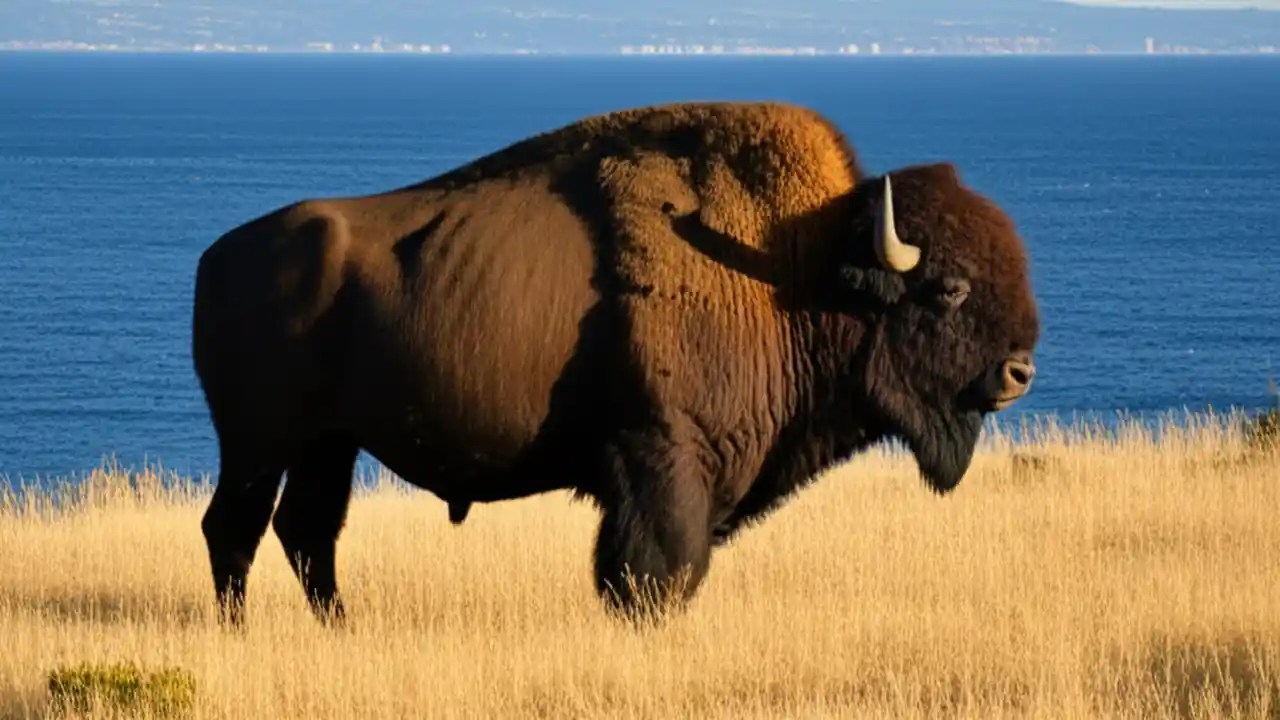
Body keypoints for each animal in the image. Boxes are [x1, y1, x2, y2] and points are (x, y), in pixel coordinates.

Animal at [191, 101, 1040, 625]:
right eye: (949, 287)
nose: (1018, 372)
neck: (799, 266)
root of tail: (220, 257)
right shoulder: (663, 459)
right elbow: (655, 573)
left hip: (329, 444)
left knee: (307, 532)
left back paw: (344, 628)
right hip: (258, 443)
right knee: (235, 528)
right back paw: (240, 634)